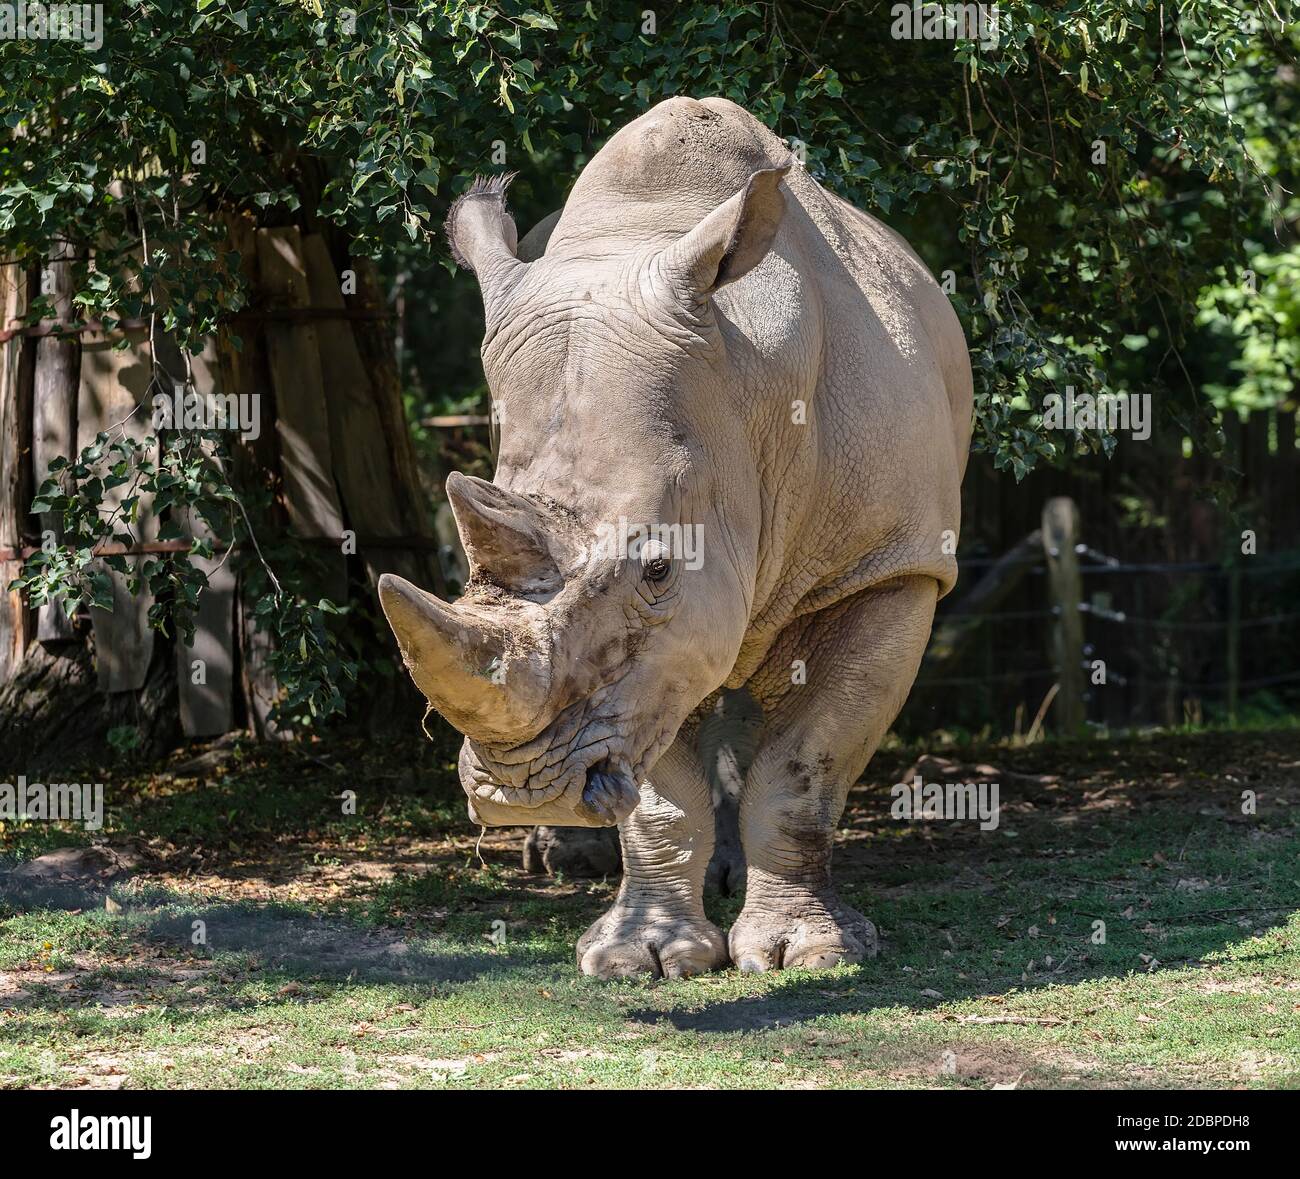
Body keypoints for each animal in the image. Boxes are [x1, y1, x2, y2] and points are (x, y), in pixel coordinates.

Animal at [380, 96, 971, 978]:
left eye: (658, 568)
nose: (522, 785)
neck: (745, 388)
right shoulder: (644, 664)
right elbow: (660, 787)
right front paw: (644, 957)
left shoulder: (890, 565)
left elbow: (803, 764)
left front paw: (809, 952)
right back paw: (573, 858)